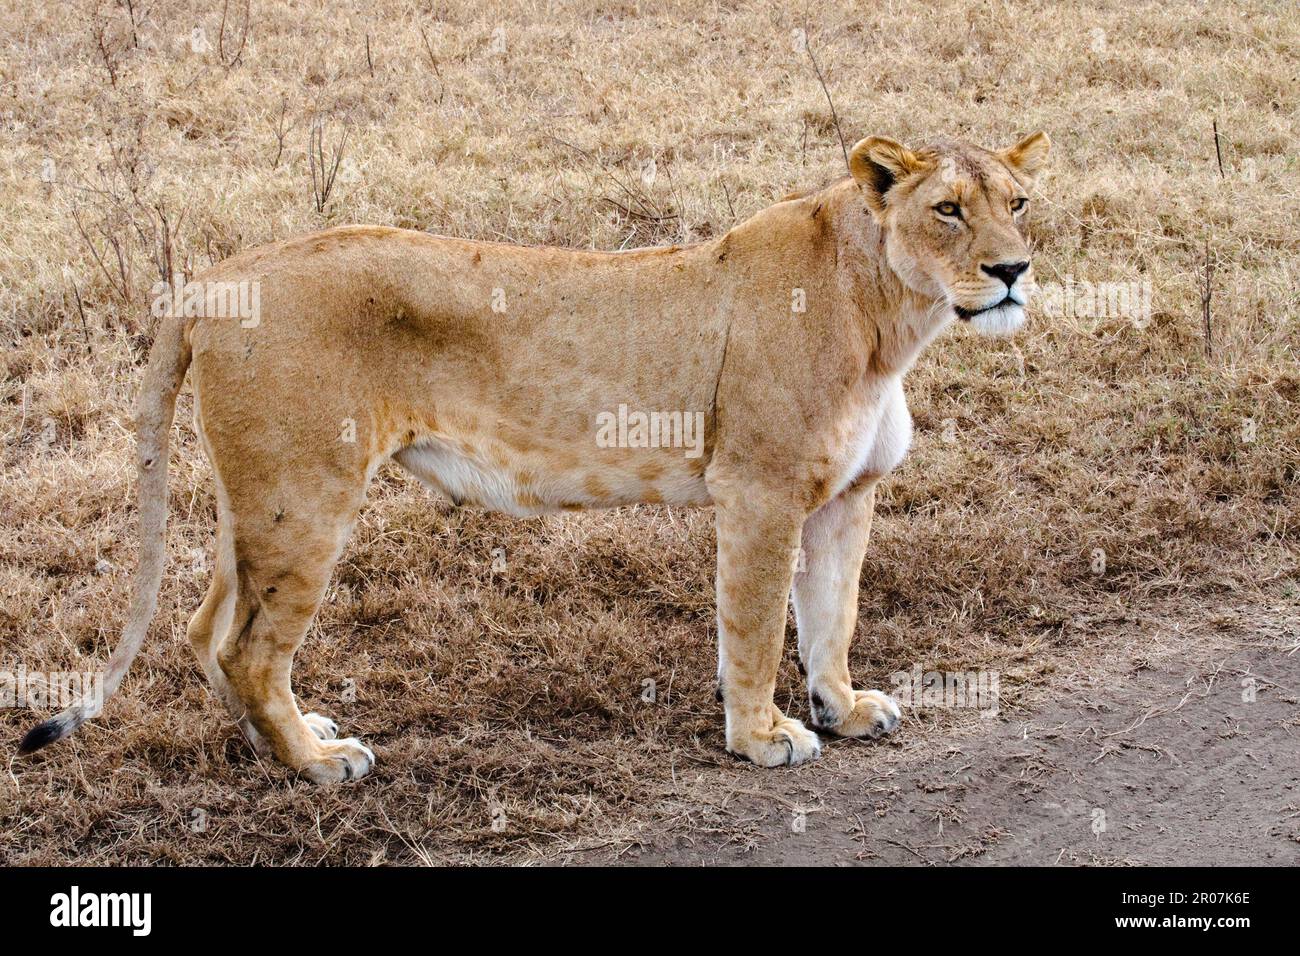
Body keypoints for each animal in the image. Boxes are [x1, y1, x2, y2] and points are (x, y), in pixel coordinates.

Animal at [20, 131, 1049, 782]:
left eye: (1018, 204)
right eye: (948, 210)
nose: (1013, 272)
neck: (890, 321)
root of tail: (213, 283)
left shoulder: (844, 494)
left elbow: (831, 615)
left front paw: (843, 707)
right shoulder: (758, 492)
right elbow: (757, 628)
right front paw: (762, 738)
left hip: (258, 502)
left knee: (206, 632)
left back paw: (286, 744)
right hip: (304, 496)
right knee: (246, 649)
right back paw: (317, 765)